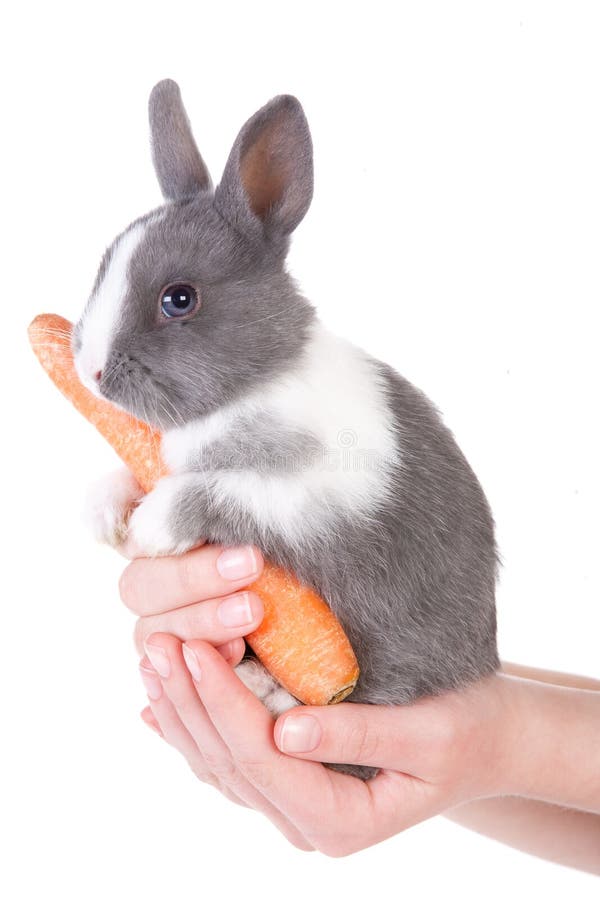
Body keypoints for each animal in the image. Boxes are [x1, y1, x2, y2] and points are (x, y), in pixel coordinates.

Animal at [74, 80, 499, 780]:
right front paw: (101, 513)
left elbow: (220, 489)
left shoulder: (316, 496)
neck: (249, 387)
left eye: (179, 299)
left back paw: (265, 691)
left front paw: (153, 527)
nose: (91, 372)